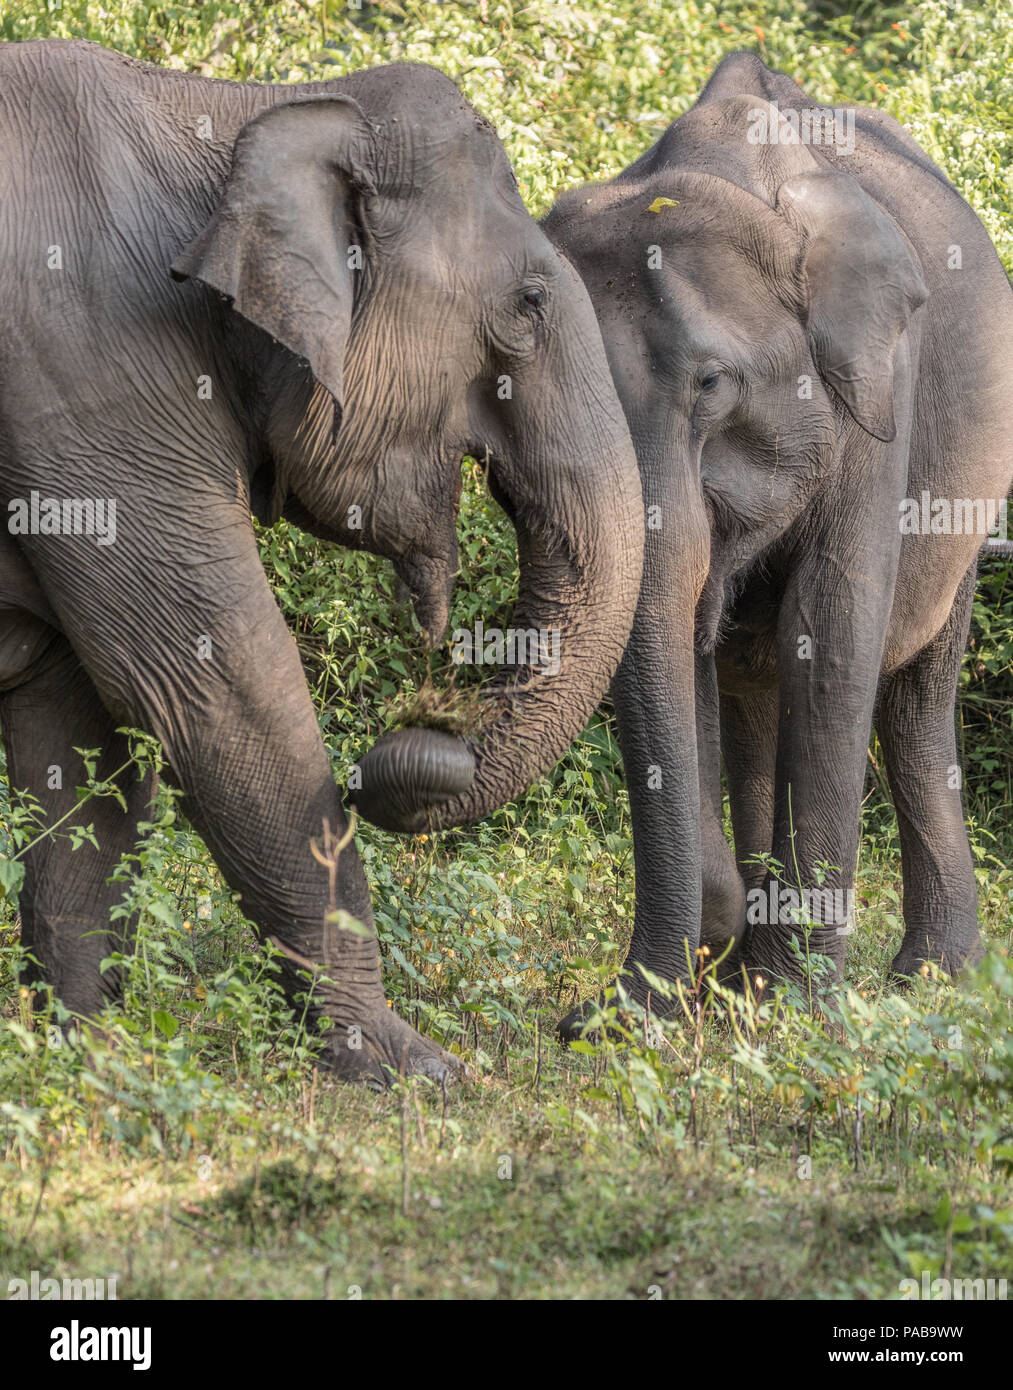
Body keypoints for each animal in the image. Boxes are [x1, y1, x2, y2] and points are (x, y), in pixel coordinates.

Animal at [0, 40, 644, 1082]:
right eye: (528, 305)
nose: (390, 750)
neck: (237, 113)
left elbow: (81, 726)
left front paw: (89, 1062)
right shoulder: (86, 381)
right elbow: (212, 685)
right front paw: (413, 1070)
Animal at [543, 51, 1013, 1027]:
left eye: (713, 384)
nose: (579, 1022)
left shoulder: (881, 384)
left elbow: (829, 634)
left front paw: (806, 1013)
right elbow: (688, 651)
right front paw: (727, 983)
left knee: (916, 695)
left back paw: (923, 978)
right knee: (752, 696)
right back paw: (744, 983)